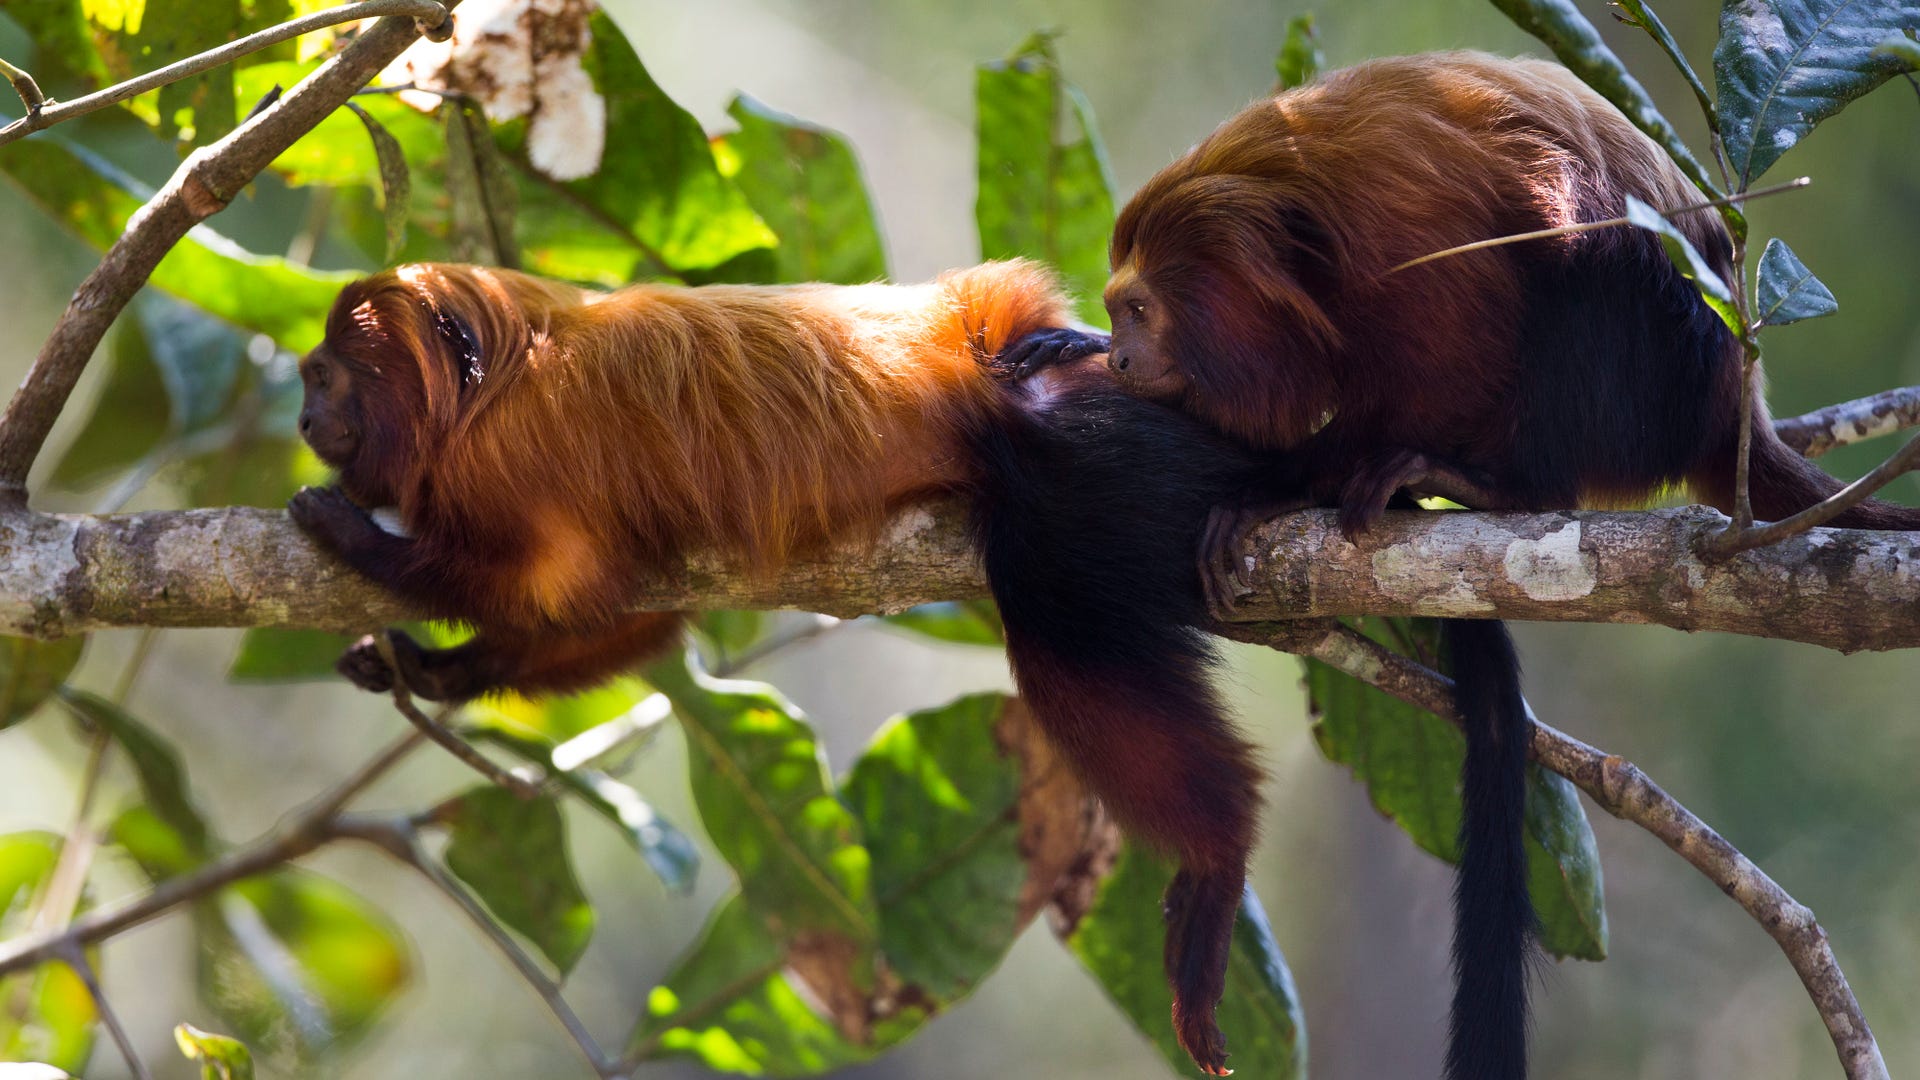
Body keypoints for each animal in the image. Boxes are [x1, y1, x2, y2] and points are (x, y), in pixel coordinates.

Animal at [287, 260, 1302, 1075]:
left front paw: (354, 538)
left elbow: (554, 582)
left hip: (1079, 453)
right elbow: (626, 612)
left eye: (325, 377)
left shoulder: (514, 458)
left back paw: (1217, 859)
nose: (300, 417)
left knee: (1064, 632)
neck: (485, 390)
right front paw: (433, 671)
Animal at [999, 49, 1920, 1080]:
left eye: (1140, 309)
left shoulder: (1405, 240)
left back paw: (1488, 483)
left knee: (1588, 255)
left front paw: (1286, 481)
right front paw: (1072, 355)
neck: (1299, 241)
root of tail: (1734, 402)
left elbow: (1459, 331)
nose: (1121, 357)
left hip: (1664, 368)